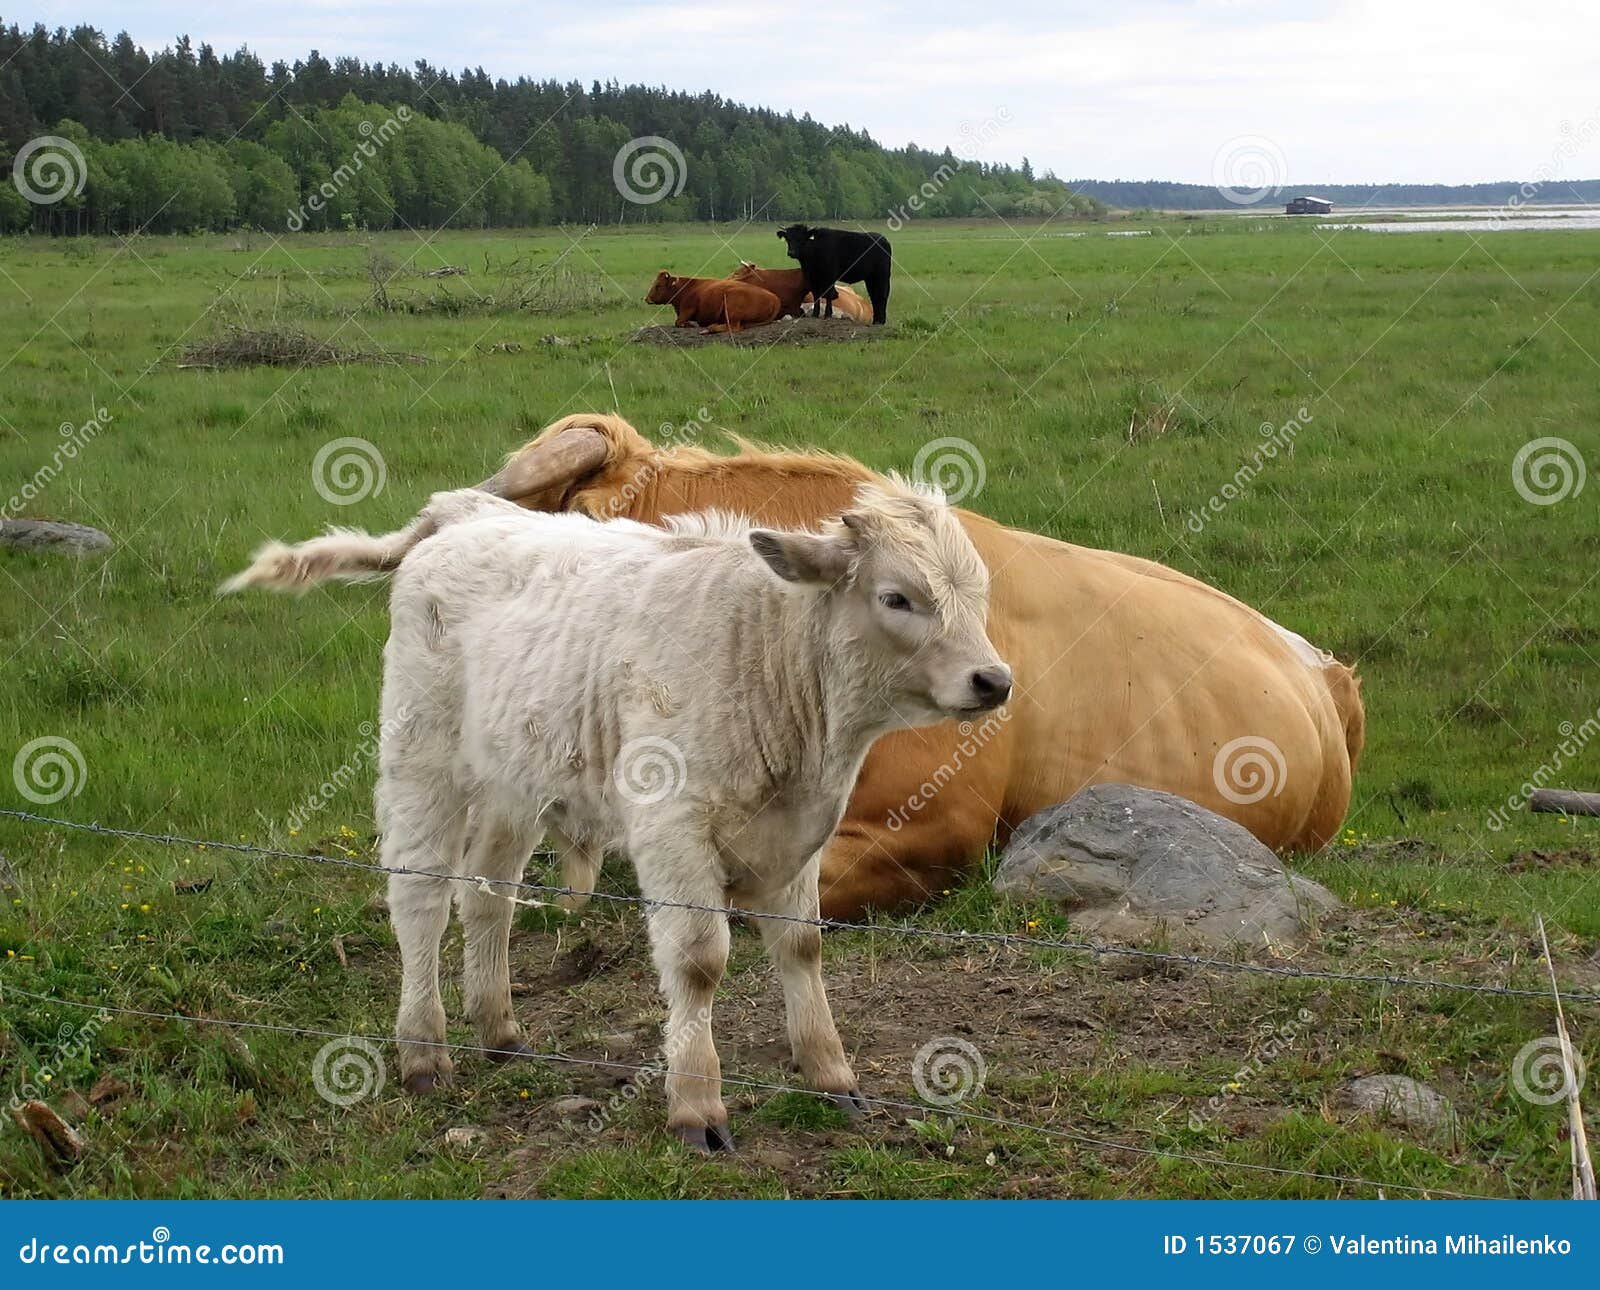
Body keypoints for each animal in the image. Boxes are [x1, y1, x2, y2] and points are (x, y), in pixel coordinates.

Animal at [225, 480, 1008, 1151]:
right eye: (897, 597)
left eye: (980, 596)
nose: (995, 680)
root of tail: (465, 510)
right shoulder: (673, 829)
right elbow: (699, 960)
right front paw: (697, 1107)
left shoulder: (801, 835)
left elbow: (802, 946)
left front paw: (830, 1074)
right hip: (423, 759)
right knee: (421, 897)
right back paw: (424, 1052)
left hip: (515, 784)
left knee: (489, 896)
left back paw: (499, 1028)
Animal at [644, 271, 781, 333]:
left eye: (658, 286)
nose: (647, 299)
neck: (686, 287)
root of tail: (774, 298)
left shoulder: (687, 309)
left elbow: (678, 322)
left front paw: (691, 324)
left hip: (731, 308)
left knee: (734, 327)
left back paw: (711, 327)